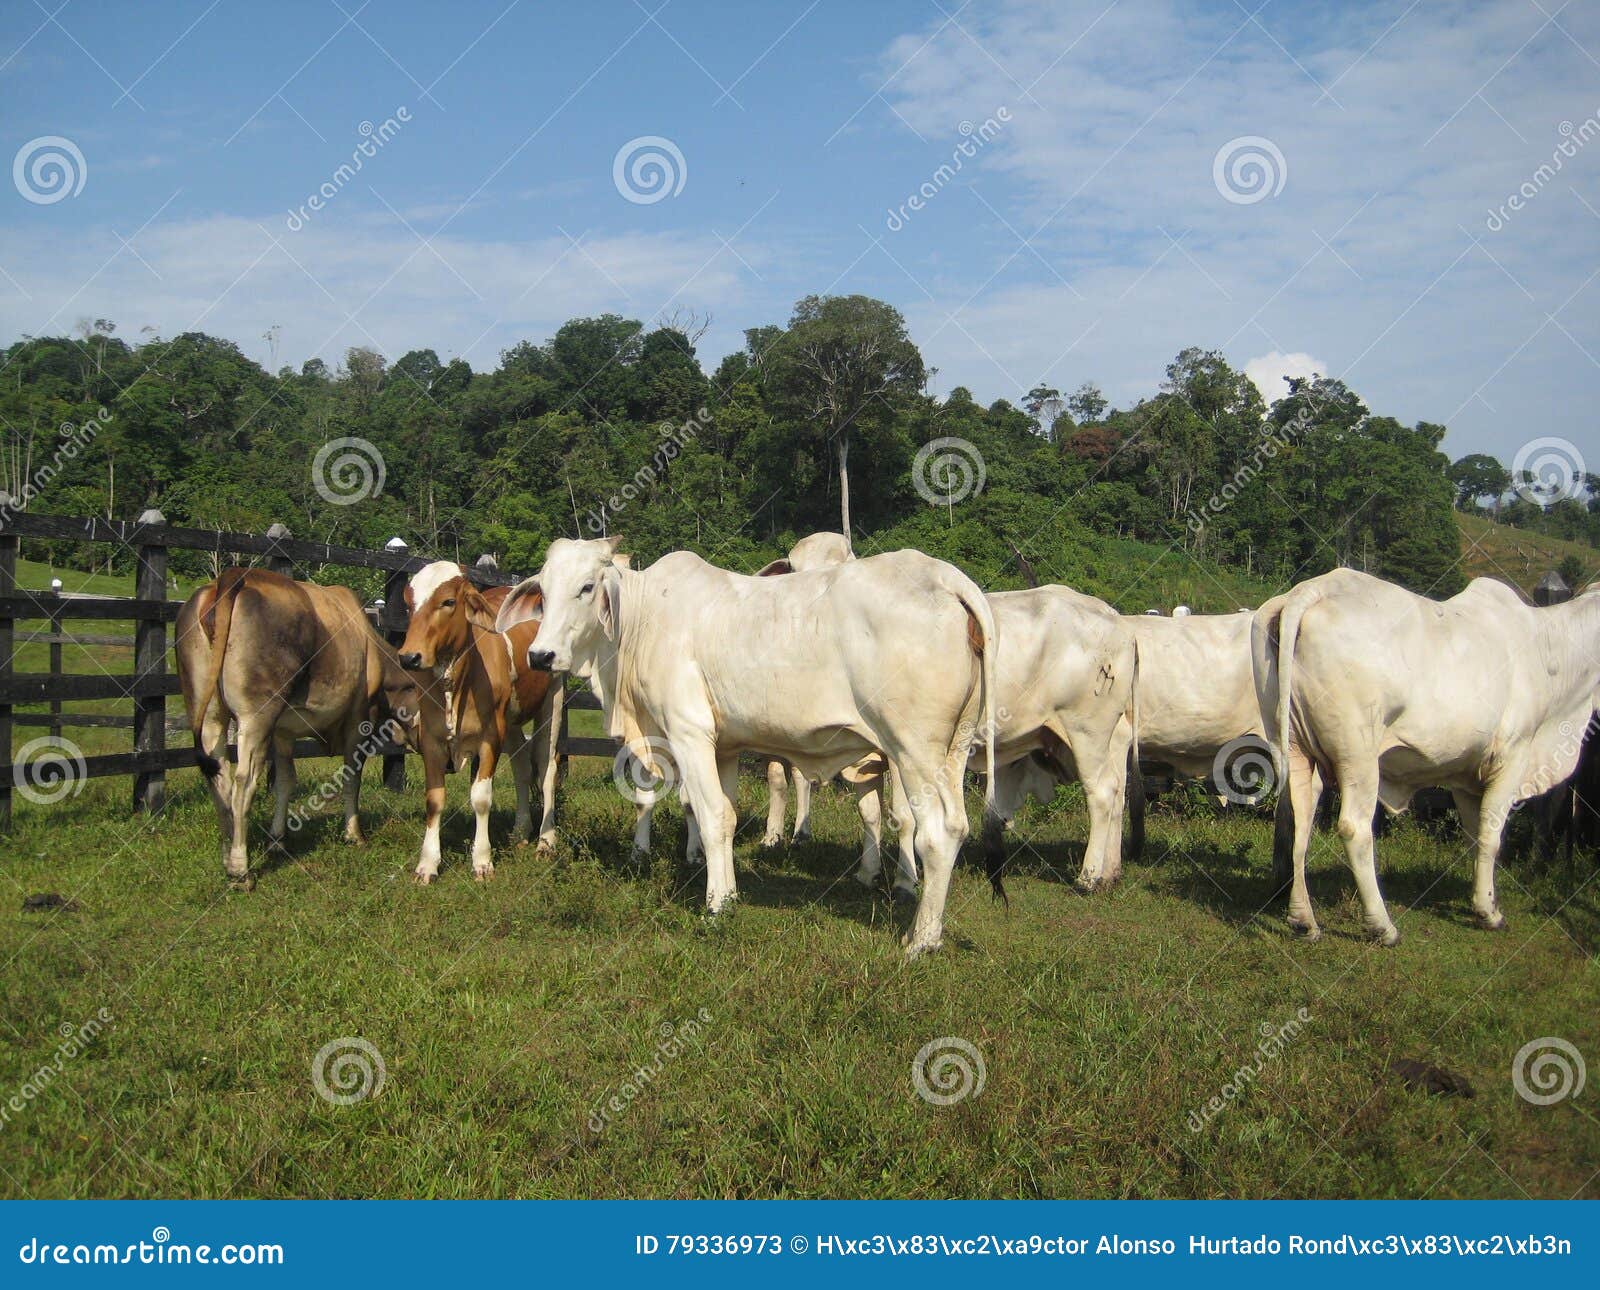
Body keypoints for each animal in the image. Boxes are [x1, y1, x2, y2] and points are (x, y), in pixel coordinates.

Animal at [176, 567, 415, 889]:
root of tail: (230, 578)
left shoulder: (283, 733)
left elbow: (285, 781)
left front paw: (278, 839)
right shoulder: (359, 719)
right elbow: (352, 779)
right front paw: (354, 834)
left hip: (209, 714)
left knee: (220, 780)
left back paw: (228, 858)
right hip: (256, 715)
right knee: (243, 784)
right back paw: (241, 870)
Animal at [393, 567, 562, 883]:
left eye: (448, 601)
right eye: (409, 604)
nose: (409, 656)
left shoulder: (490, 737)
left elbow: (481, 798)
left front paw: (482, 861)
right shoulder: (432, 740)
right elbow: (434, 800)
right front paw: (427, 864)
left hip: (553, 700)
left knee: (547, 768)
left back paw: (546, 842)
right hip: (511, 722)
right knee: (522, 768)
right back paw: (521, 831)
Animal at [495, 536, 997, 957]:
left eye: (585, 588)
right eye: (542, 593)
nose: (540, 655)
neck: (640, 622)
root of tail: (942, 576)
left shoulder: (689, 732)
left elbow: (712, 814)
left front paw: (716, 905)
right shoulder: (725, 748)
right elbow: (726, 817)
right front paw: (730, 891)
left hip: (913, 749)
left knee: (937, 830)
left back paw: (921, 940)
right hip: (952, 750)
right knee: (952, 825)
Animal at [1252, 568, 1600, 944]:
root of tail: (1314, 589)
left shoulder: (1466, 776)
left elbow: (1475, 836)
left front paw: (1481, 902)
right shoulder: (1512, 756)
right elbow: (1491, 836)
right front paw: (1489, 913)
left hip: (1294, 747)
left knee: (1297, 817)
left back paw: (1303, 919)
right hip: (1358, 754)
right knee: (1354, 827)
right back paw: (1382, 926)